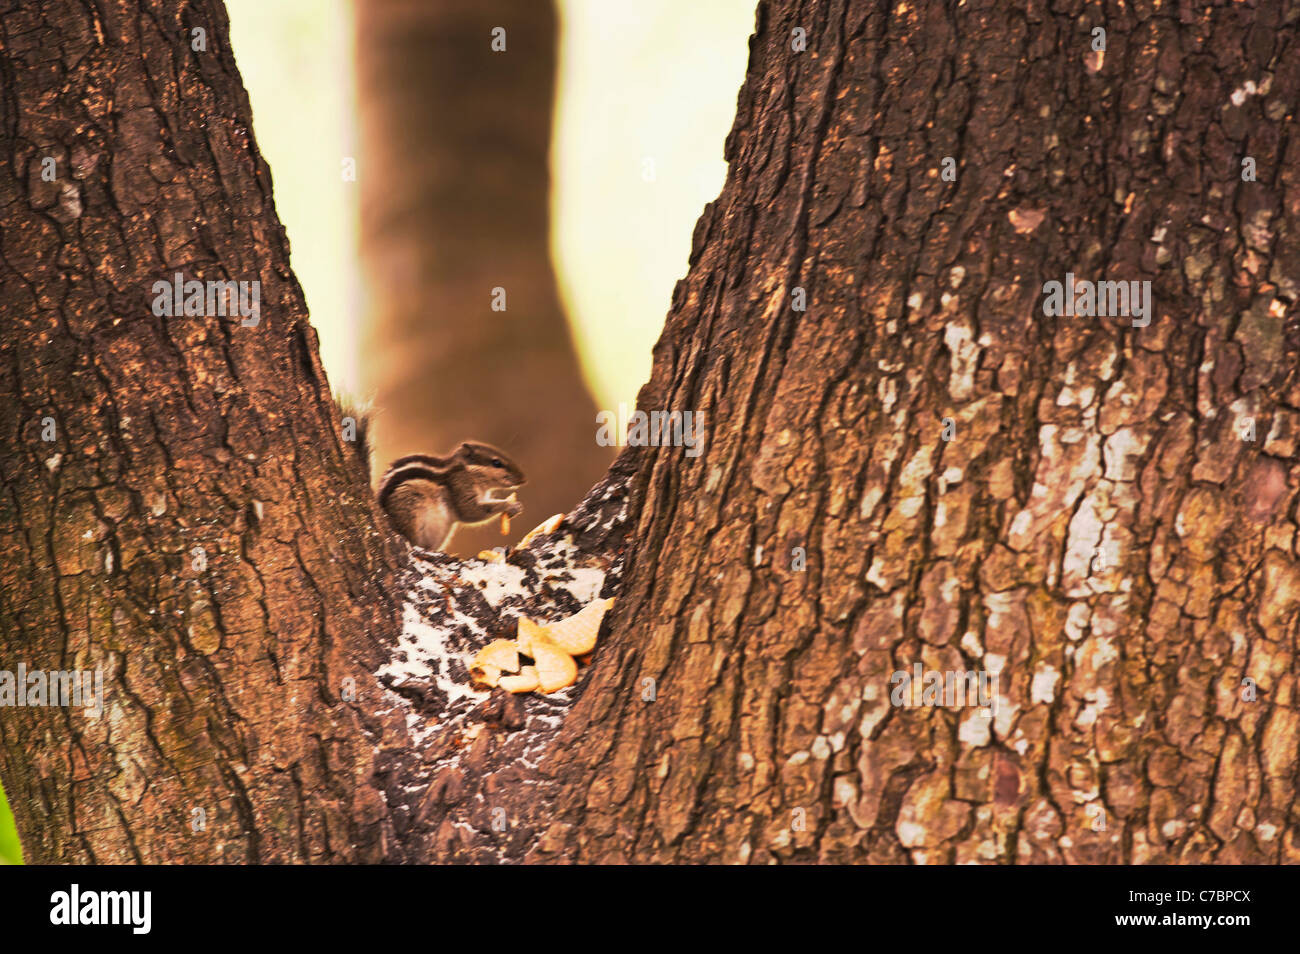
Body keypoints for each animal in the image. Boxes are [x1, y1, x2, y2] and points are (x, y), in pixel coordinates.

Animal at [335, 395, 526, 551]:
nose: (523, 480)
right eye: (496, 463)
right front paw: (510, 505)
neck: (468, 472)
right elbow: (471, 511)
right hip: (410, 510)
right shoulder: (459, 487)